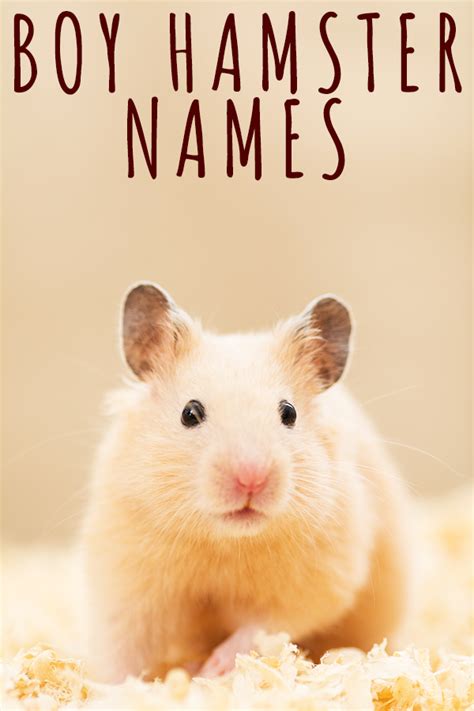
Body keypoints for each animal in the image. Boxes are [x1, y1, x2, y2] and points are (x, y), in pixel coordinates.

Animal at [82, 283, 414, 682]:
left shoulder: (317, 581)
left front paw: (212, 670)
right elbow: (123, 645)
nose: (251, 478)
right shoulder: (126, 576)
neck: (227, 543)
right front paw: (116, 687)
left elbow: (260, 628)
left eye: (289, 413)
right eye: (190, 413)